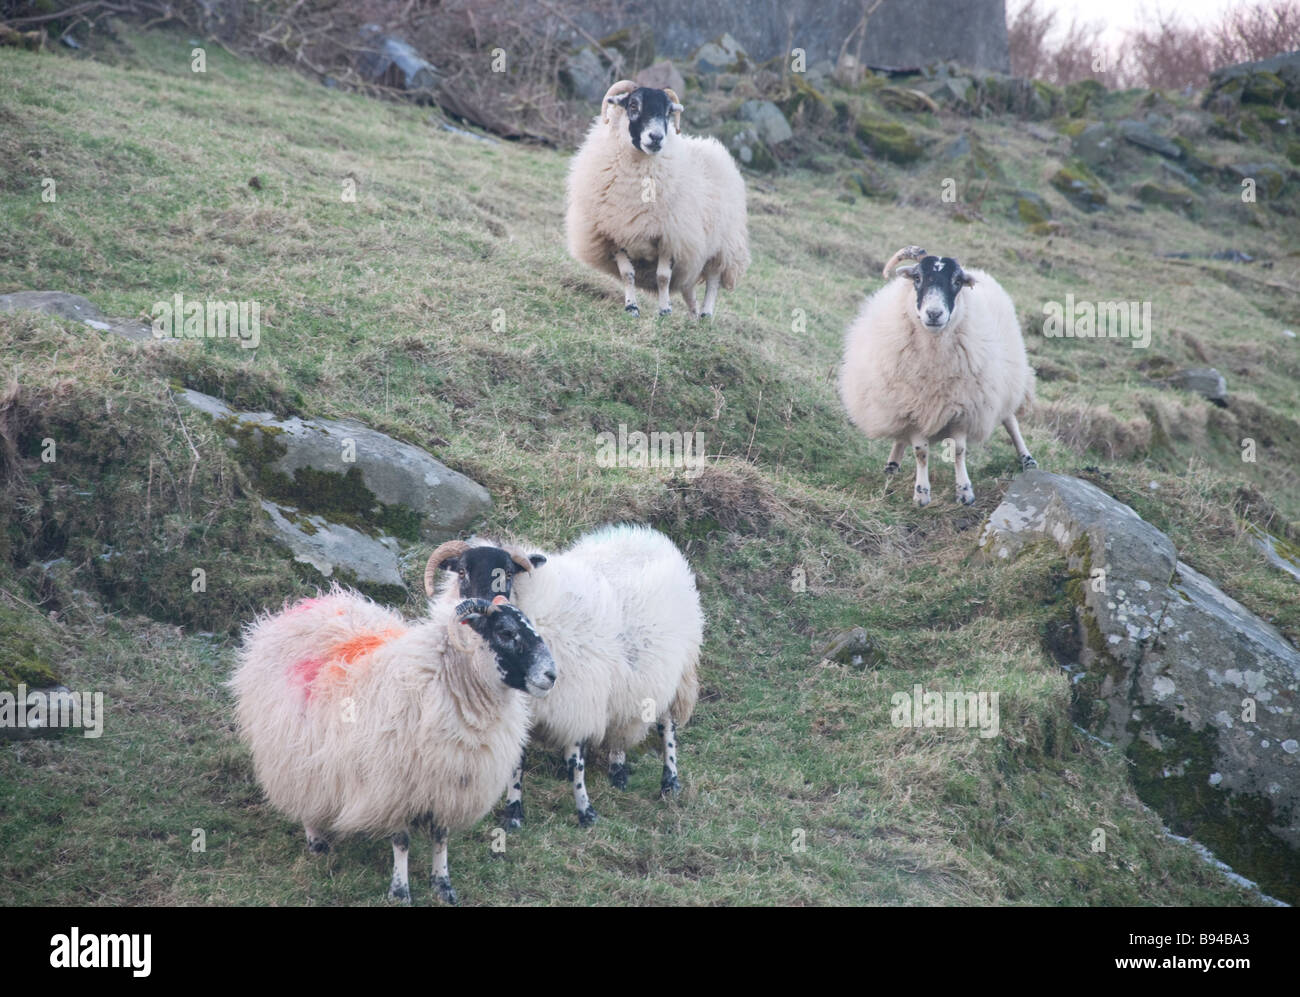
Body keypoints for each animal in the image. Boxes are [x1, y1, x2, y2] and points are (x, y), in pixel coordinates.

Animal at [229, 586, 556, 905]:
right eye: (505, 632)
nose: (552, 675)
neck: (444, 680)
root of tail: (304, 606)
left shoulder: (448, 785)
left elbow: (441, 837)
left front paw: (443, 886)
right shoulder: (394, 786)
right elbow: (401, 841)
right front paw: (400, 892)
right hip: (291, 747)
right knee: (302, 790)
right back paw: (316, 841)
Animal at [426, 525, 703, 827]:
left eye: (508, 573)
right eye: (461, 571)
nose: (484, 606)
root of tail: (648, 535)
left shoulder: (576, 699)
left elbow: (575, 763)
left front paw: (585, 811)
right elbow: (518, 763)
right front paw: (513, 813)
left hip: (676, 670)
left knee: (667, 725)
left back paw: (670, 781)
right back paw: (618, 770)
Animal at [565, 79, 750, 319]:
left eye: (668, 112)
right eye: (633, 105)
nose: (656, 137)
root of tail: (716, 149)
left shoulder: (670, 236)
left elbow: (663, 277)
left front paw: (665, 310)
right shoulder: (614, 233)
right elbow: (627, 274)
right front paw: (631, 307)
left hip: (723, 244)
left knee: (713, 279)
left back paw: (706, 315)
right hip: (694, 253)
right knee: (689, 285)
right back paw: (693, 316)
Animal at [838, 246, 1038, 507]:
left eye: (957, 281)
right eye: (917, 277)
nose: (934, 313)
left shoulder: (964, 408)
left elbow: (959, 450)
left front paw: (965, 492)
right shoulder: (912, 408)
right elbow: (921, 452)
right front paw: (922, 493)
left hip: (1006, 381)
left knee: (1010, 420)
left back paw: (1027, 459)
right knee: (902, 437)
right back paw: (892, 465)